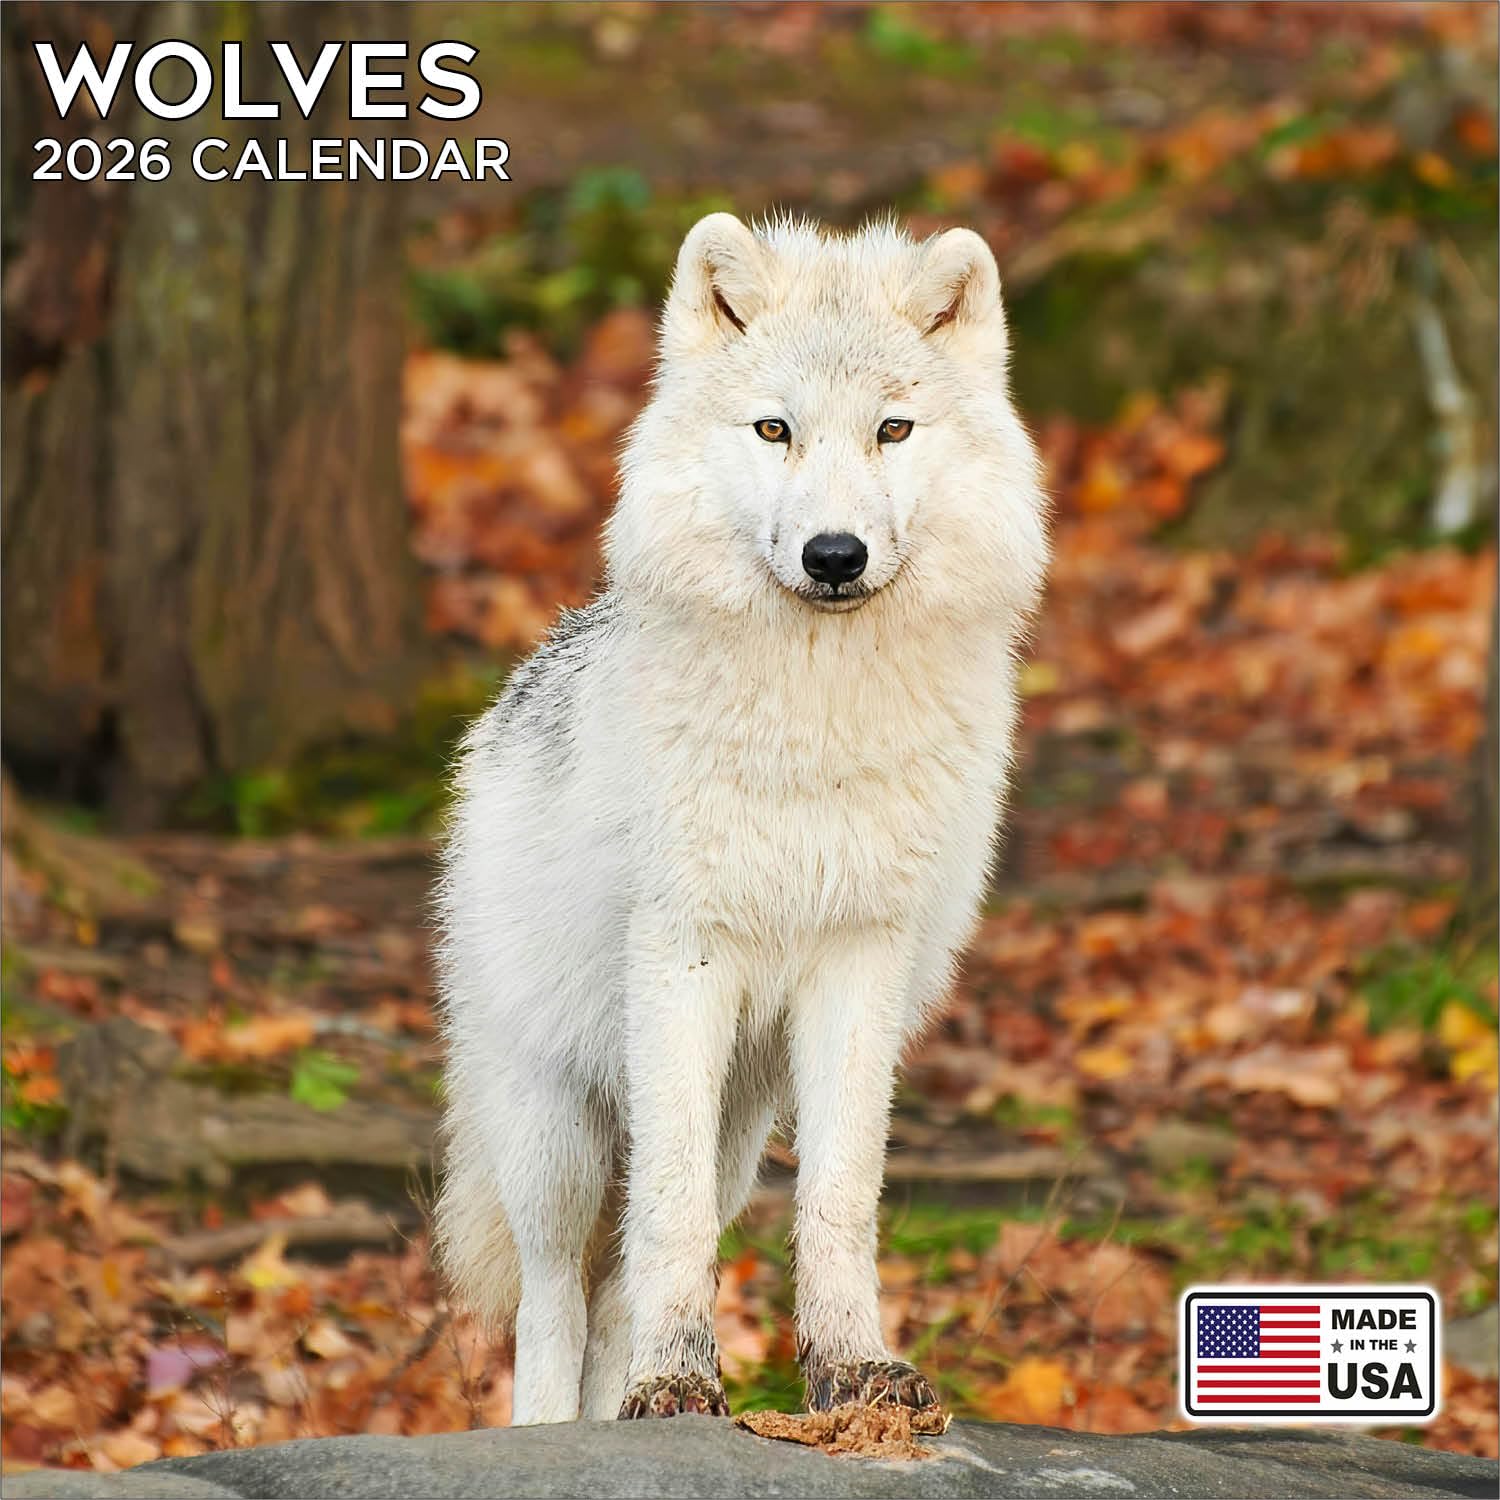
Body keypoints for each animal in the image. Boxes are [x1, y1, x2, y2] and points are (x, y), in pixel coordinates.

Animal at [435, 213, 1049, 1426]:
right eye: (775, 429)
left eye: (892, 429)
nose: (834, 556)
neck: (816, 728)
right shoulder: (685, 956)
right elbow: (664, 1220)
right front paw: (681, 1381)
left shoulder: (860, 960)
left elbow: (842, 1198)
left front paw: (852, 1371)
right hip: (556, 1131)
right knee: (553, 1297)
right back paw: (555, 1428)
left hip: (741, 1127)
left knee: (616, 1291)